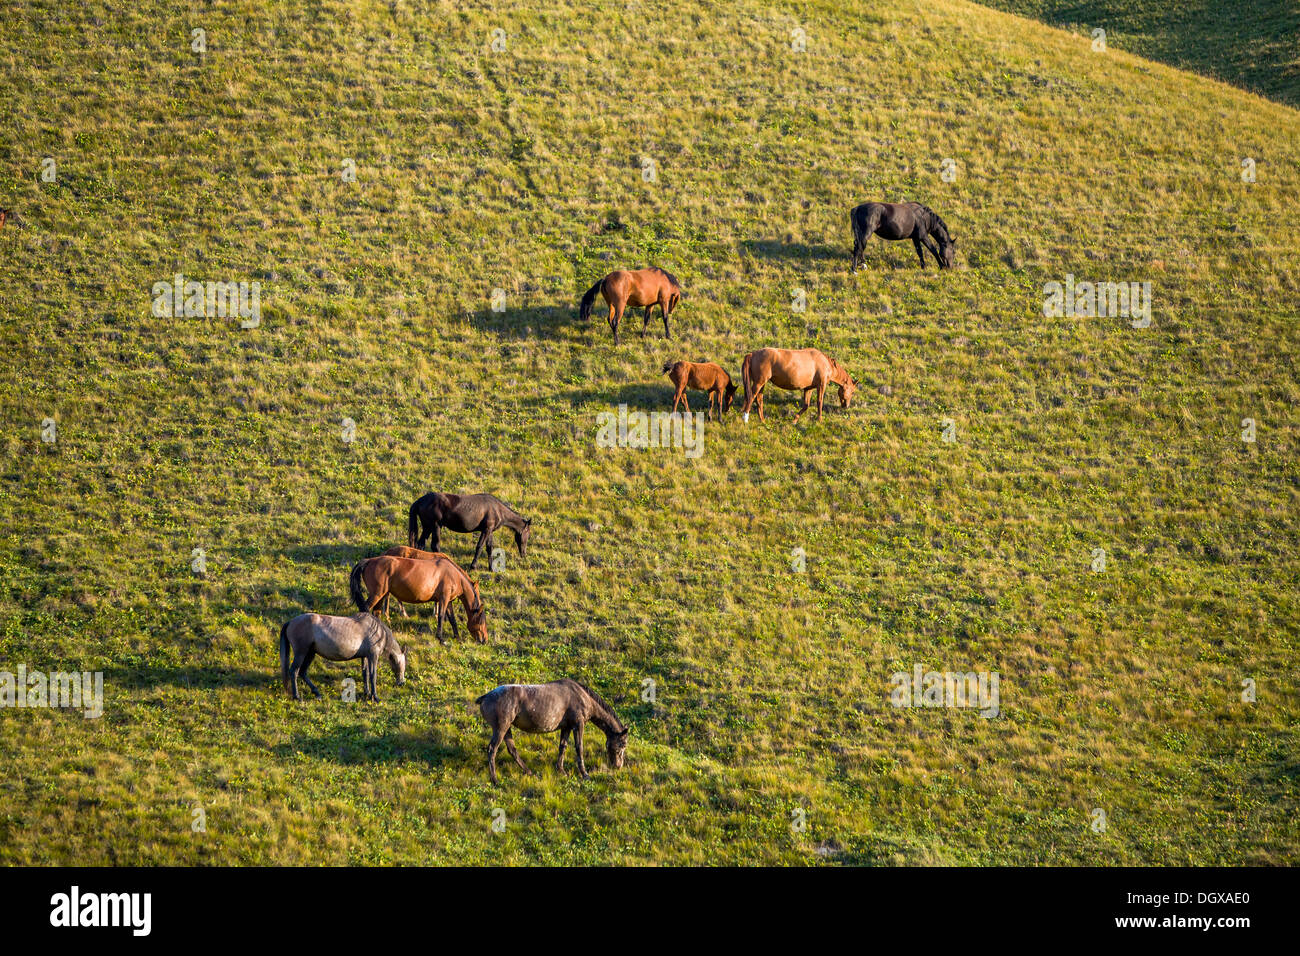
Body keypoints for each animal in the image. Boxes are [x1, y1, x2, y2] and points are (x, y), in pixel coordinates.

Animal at [350, 555, 488, 643]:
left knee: (376, 612)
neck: (454, 575)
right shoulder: (443, 599)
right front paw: (441, 639)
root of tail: (369, 561)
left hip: (382, 595)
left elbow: (452, 619)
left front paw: (457, 638)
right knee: (365, 609)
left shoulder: (448, 601)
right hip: (377, 594)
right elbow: (441, 616)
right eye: (481, 621)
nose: (485, 640)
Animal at [475, 679, 629, 784]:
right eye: (622, 745)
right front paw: (585, 774)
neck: (583, 696)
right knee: (492, 749)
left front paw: (561, 770)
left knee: (512, 750)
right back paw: (495, 780)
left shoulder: (566, 727)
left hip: (507, 729)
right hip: (501, 728)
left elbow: (563, 747)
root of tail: (485, 696)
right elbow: (579, 748)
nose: (618, 766)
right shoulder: (578, 725)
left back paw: (529, 772)